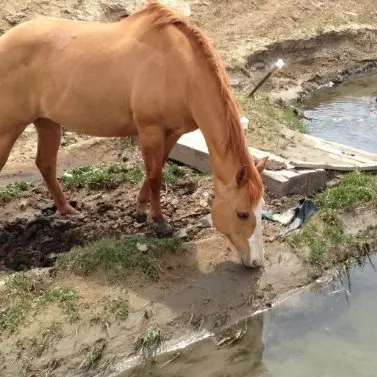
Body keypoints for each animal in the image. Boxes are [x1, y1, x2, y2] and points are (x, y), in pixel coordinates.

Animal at [0, 2, 268, 268]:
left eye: (261, 209)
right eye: (242, 213)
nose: (256, 262)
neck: (178, 67)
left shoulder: (173, 132)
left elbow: (157, 168)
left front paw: (140, 210)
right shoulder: (150, 130)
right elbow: (155, 175)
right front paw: (159, 221)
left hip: (47, 123)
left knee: (45, 164)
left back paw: (67, 209)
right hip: (9, 128)